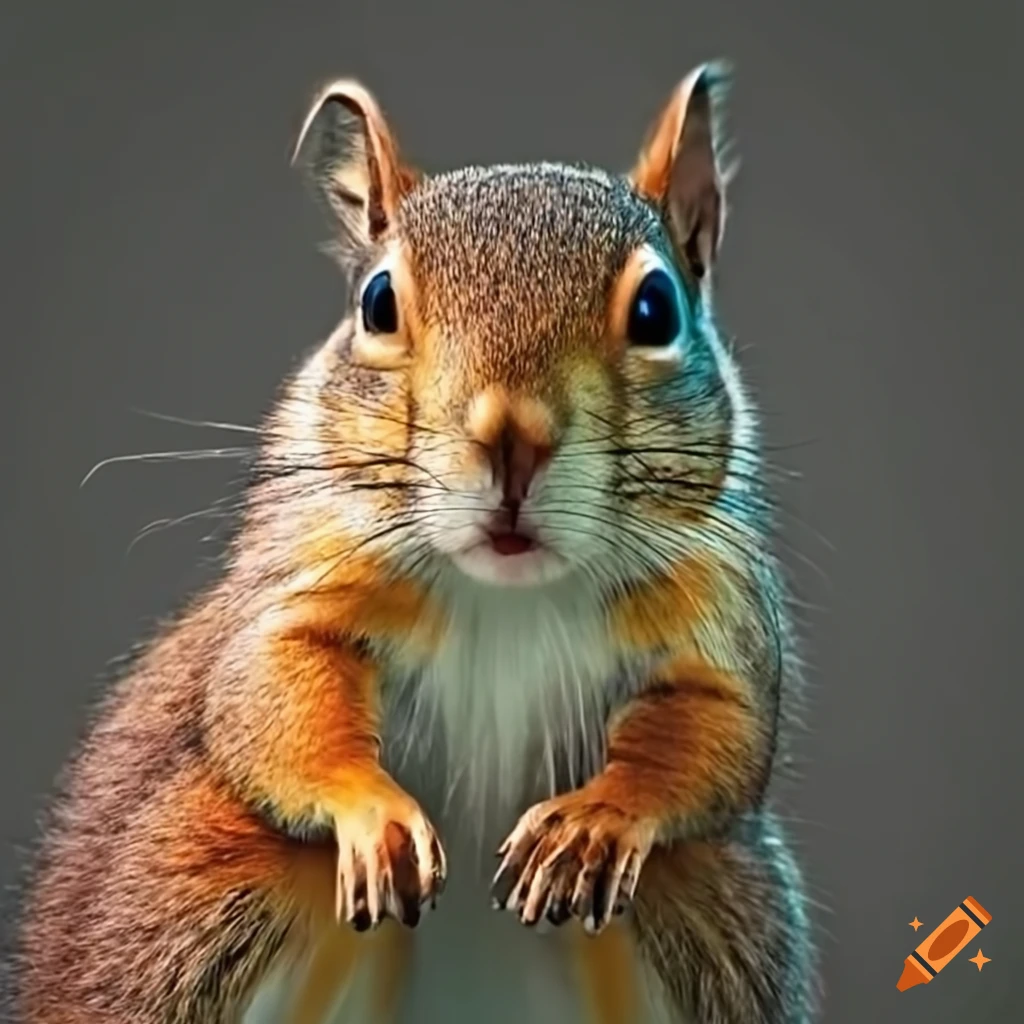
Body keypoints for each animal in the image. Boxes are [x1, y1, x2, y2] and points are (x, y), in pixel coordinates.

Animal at [14, 61, 815, 1024]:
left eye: (657, 309)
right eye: (377, 303)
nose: (512, 439)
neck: (508, 596)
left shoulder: (715, 609)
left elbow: (716, 732)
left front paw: (597, 818)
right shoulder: (307, 575)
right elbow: (269, 690)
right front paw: (372, 814)